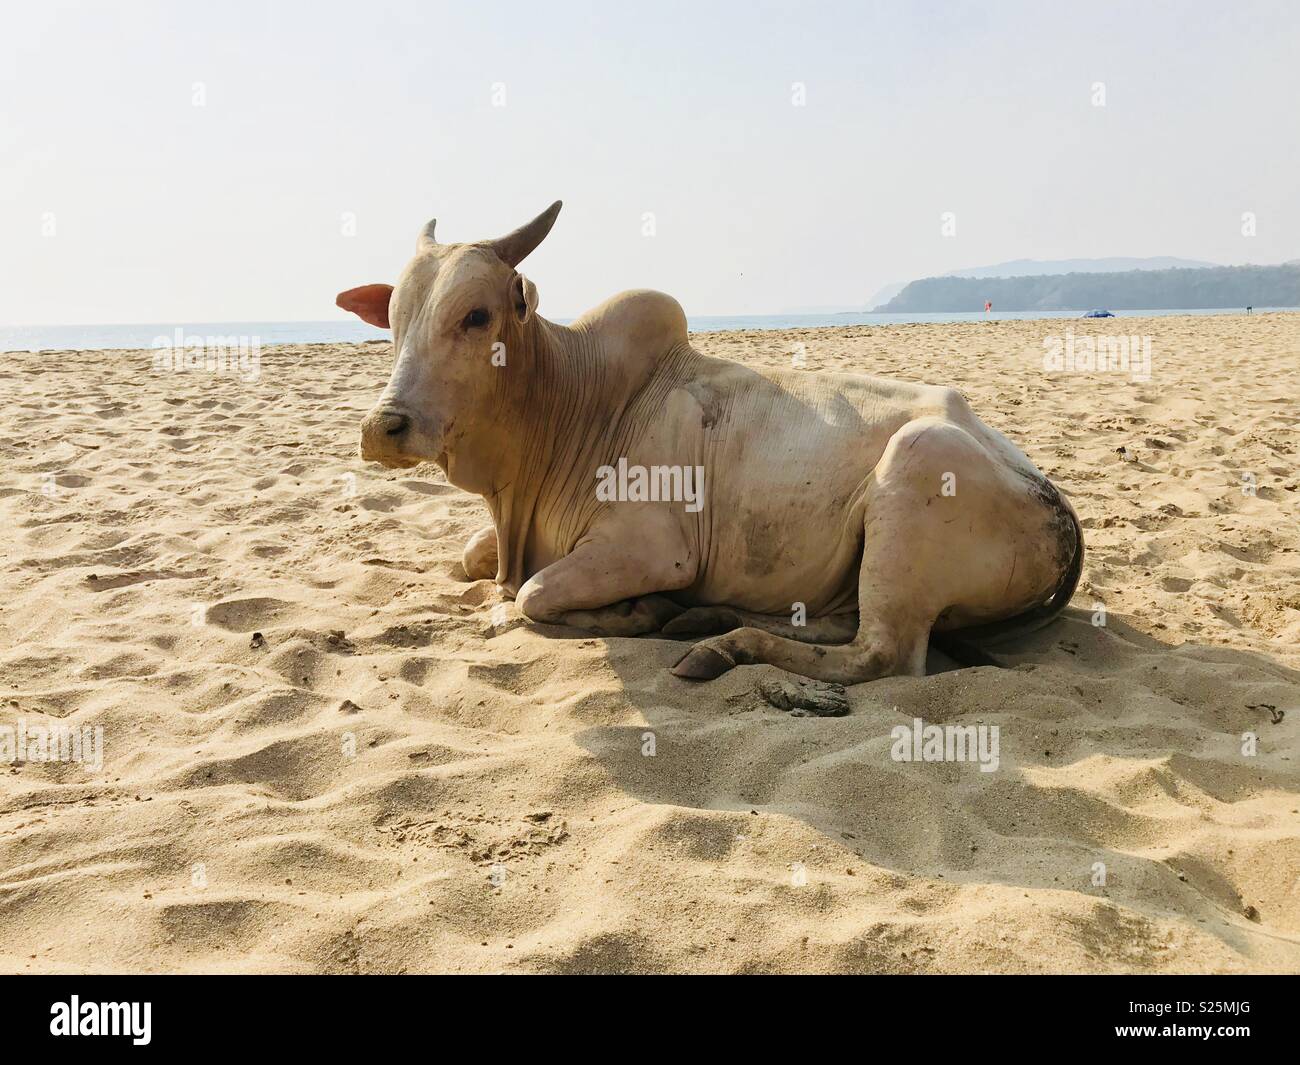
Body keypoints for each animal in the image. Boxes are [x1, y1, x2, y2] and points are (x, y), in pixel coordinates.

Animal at [337, 202, 1083, 699]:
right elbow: (473, 558)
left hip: (919, 464)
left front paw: (643, 611)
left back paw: (716, 645)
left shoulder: (652, 547)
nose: (383, 427)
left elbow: (532, 594)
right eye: (394, 318)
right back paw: (710, 618)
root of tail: (1057, 501)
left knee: (881, 656)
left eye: (476, 315)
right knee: (838, 626)